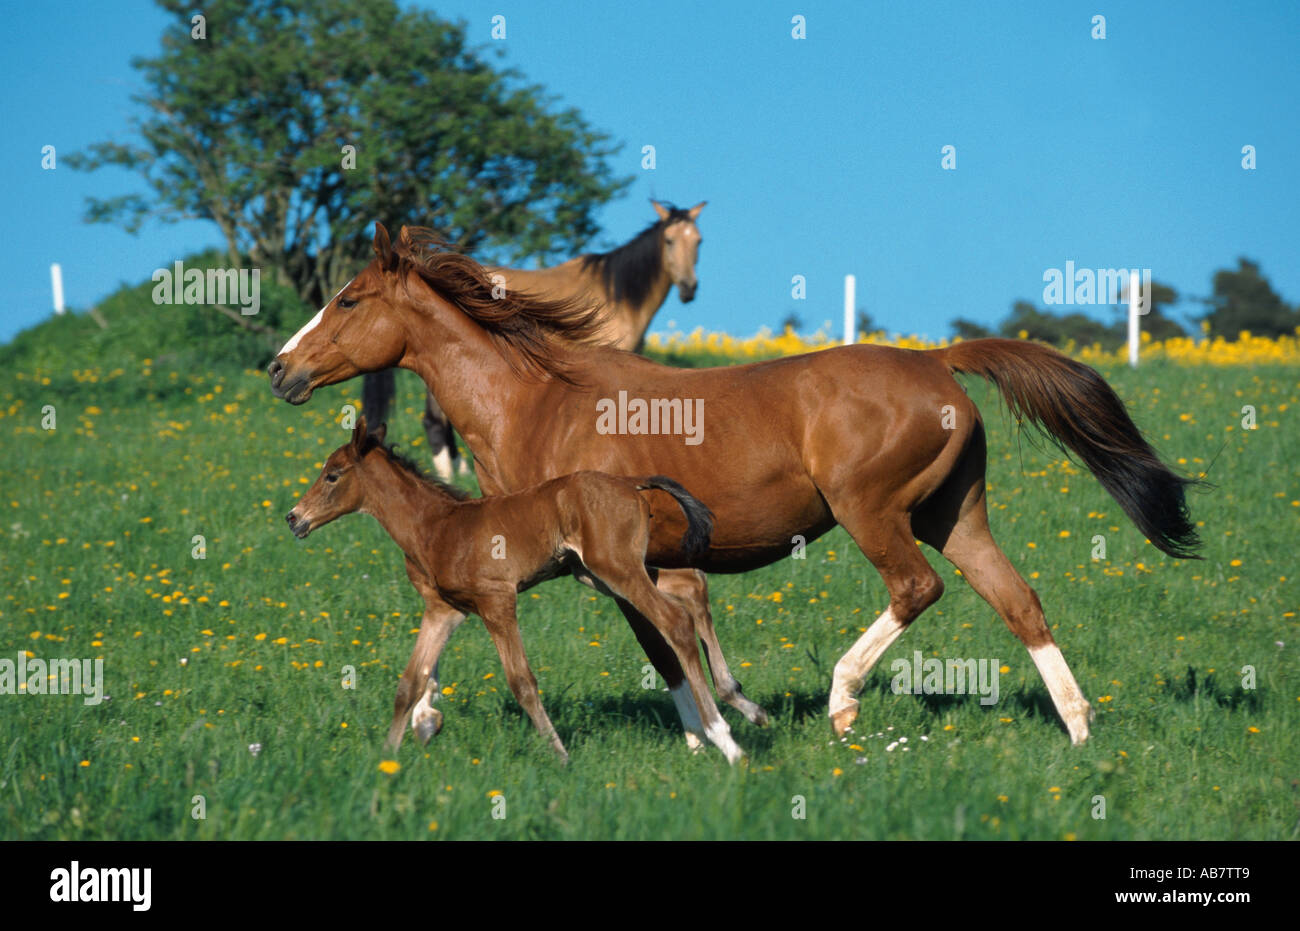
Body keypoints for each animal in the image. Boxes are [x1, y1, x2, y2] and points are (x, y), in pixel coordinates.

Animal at [284, 417, 743, 763]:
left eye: (332, 475)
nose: (294, 518)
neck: (437, 526)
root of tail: (632, 483)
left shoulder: (497, 601)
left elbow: (521, 681)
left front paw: (561, 755)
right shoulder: (444, 610)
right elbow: (410, 683)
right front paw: (387, 757)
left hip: (617, 570)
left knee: (676, 619)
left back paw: (726, 739)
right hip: (606, 571)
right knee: (691, 590)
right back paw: (740, 709)